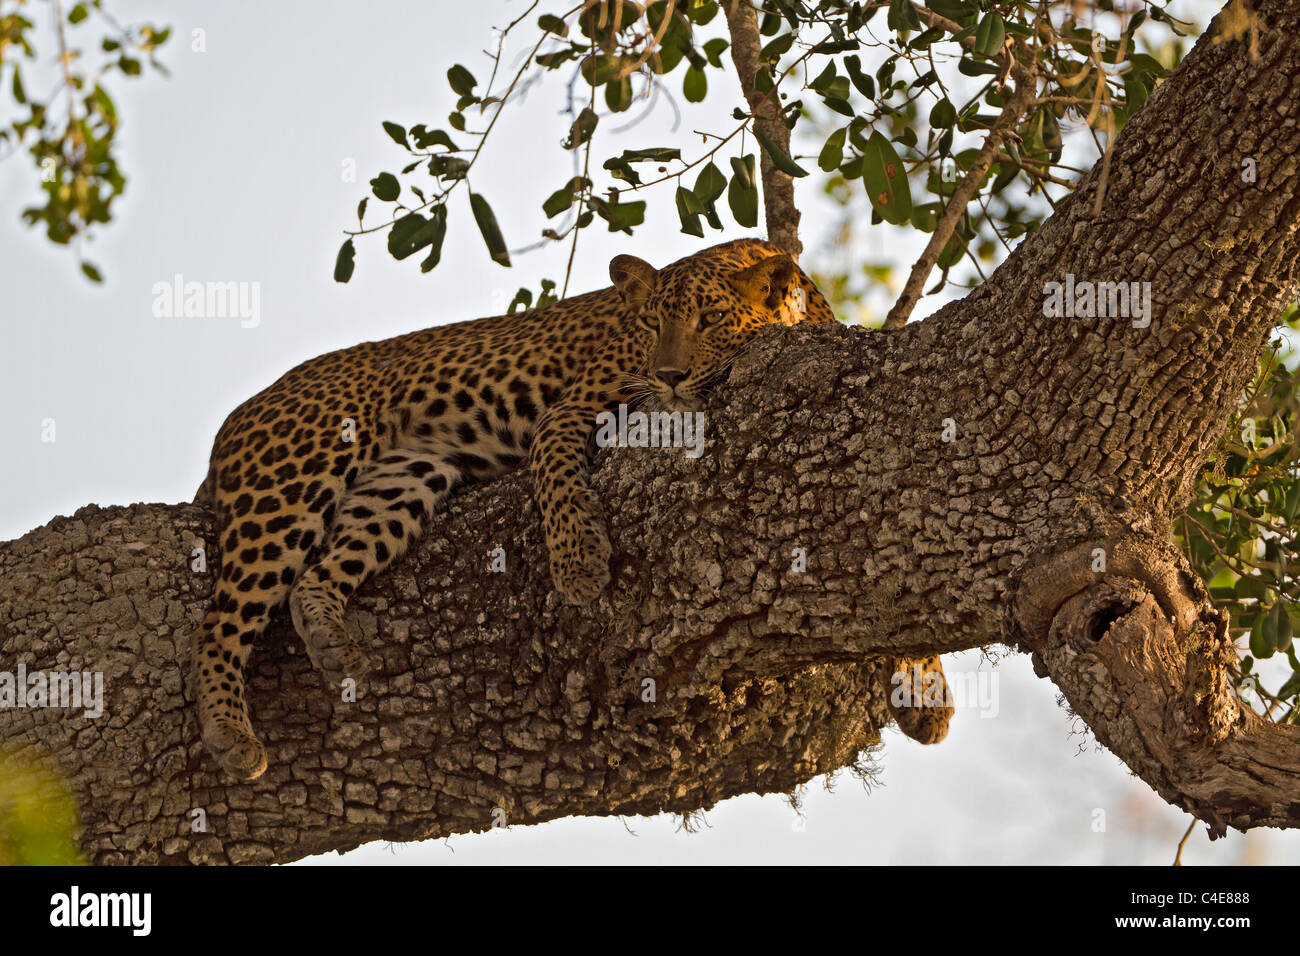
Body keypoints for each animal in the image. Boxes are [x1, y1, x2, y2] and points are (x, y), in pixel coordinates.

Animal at [191, 237, 952, 780]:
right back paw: (229, 732)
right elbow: (558, 479)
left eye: (709, 320)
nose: (669, 376)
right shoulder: (573, 410)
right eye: (651, 323)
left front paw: (926, 688)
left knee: (312, 579)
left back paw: (330, 639)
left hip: (407, 475)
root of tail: (236, 416)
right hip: (293, 477)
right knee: (219, 625)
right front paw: (581, 562)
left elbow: (900, 588)